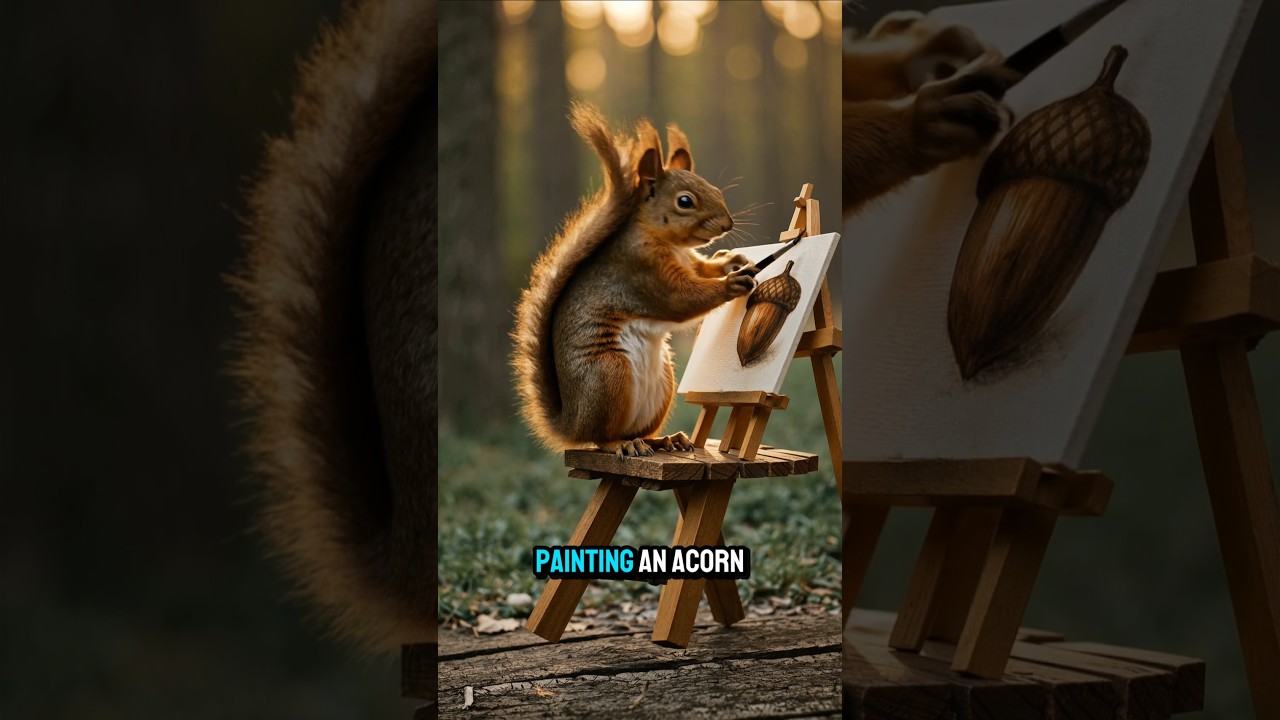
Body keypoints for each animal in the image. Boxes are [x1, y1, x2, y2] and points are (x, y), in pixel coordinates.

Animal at [512, 103, 758, 458]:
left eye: (715, 189)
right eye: (685, 201)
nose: (728, 224)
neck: (668, 242)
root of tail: (571, 423)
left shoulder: (689, 260)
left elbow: (702, 269)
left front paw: (731, 261)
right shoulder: (642, 271)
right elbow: (681, 299)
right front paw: (731, 282)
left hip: (662, 383)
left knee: (637, 432)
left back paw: (663, 440)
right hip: (609, 373)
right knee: (601, 437)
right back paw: (621, 445)